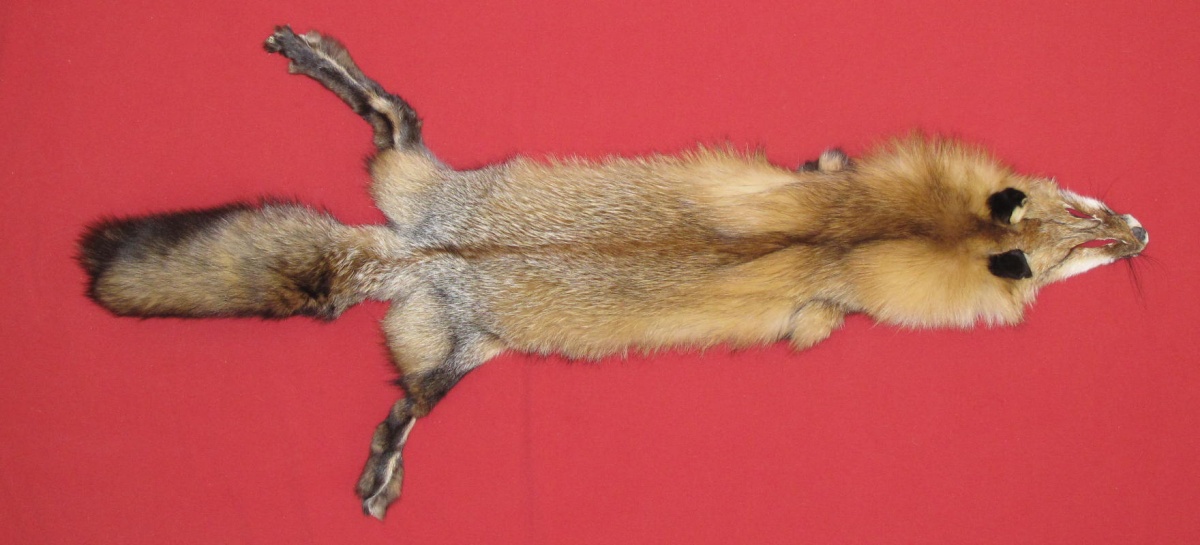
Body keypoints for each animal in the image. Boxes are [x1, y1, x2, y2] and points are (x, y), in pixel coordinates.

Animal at [76, 26, 1149, 519]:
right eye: (1083, 243)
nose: (1140, 233)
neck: (869, 226)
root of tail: (409, 252)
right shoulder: (827, 277)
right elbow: (816, 313)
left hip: (428, 248)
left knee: (390, 133)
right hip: (457, 337)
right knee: (412, 369)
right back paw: (385, 463)